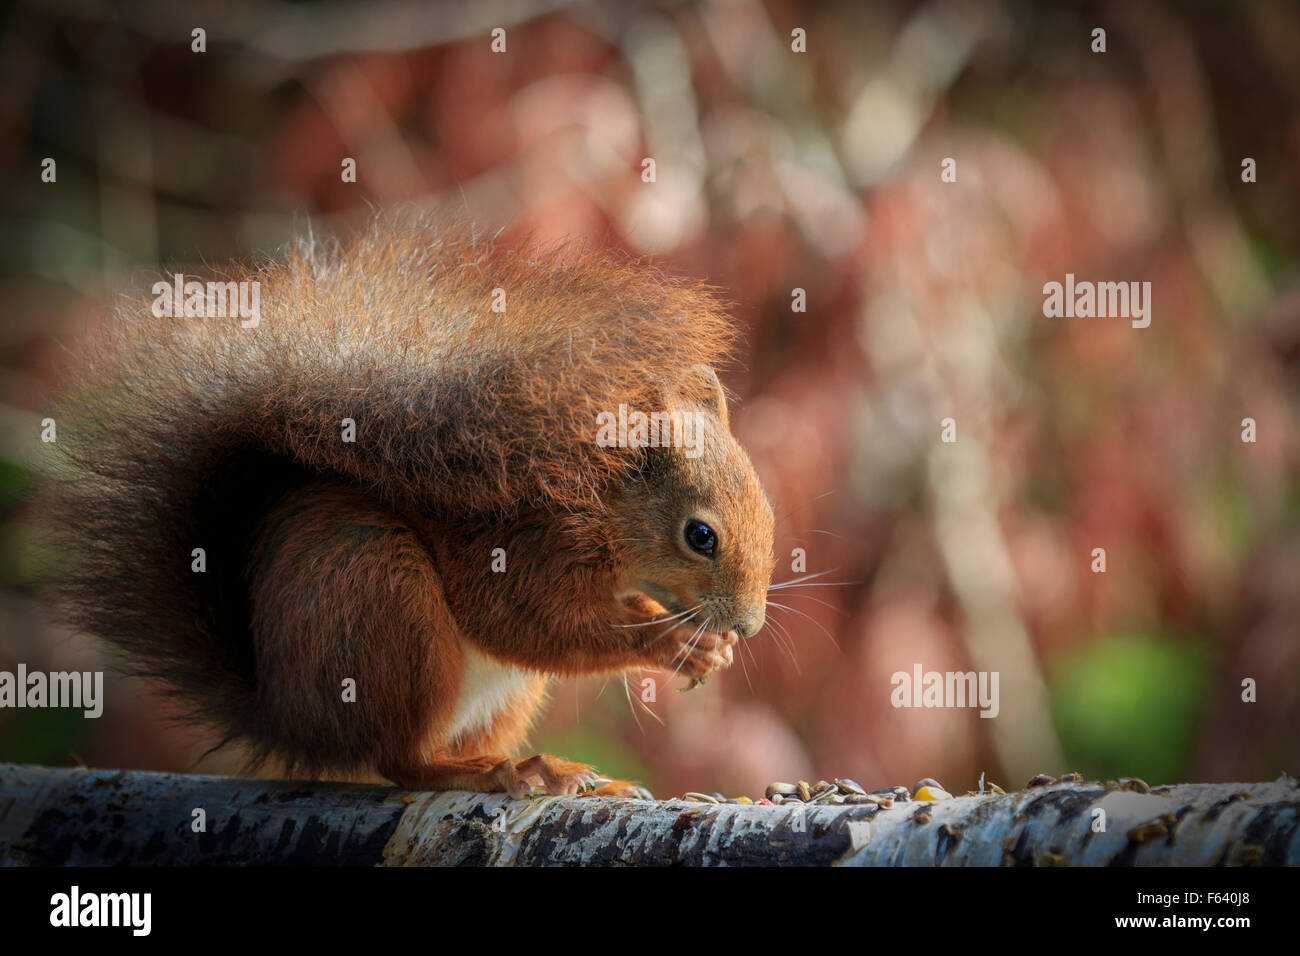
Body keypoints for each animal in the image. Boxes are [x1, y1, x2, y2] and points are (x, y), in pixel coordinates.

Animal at [39, 213, 776, 798]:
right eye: (700, 536)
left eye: (770, 516)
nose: (748, 628)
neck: (602, 507)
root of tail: (288, 722)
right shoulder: (521, 546)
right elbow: (532, 625)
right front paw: (671, 642)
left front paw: (704, 649)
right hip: (378, 596)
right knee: (402, 758)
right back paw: (497, 772)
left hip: (498, 690)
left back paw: (556, 771)